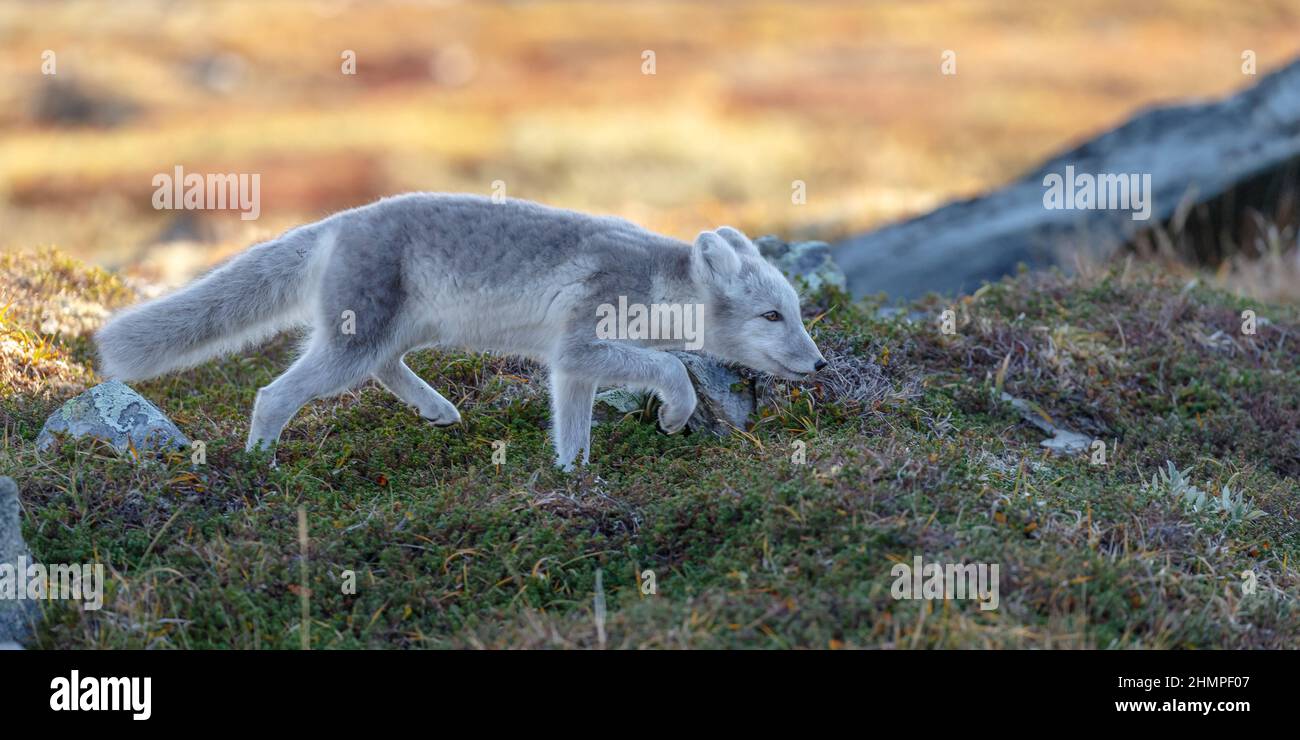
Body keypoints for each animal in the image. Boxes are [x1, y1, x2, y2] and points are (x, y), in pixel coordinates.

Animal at [95, 193, 826, 469]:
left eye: (796, 310)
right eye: (771, 316)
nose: (819, 366)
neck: (656, 282)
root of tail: (336, 221)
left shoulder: (572, 366)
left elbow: (573, 426)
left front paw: (573, 477)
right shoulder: (582, 342)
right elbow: (672, 367)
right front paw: (675, 416)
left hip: (397, 333)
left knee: (384, 369)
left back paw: (438, 411)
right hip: (352, 344)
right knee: (273, 394)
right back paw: (258, 464)